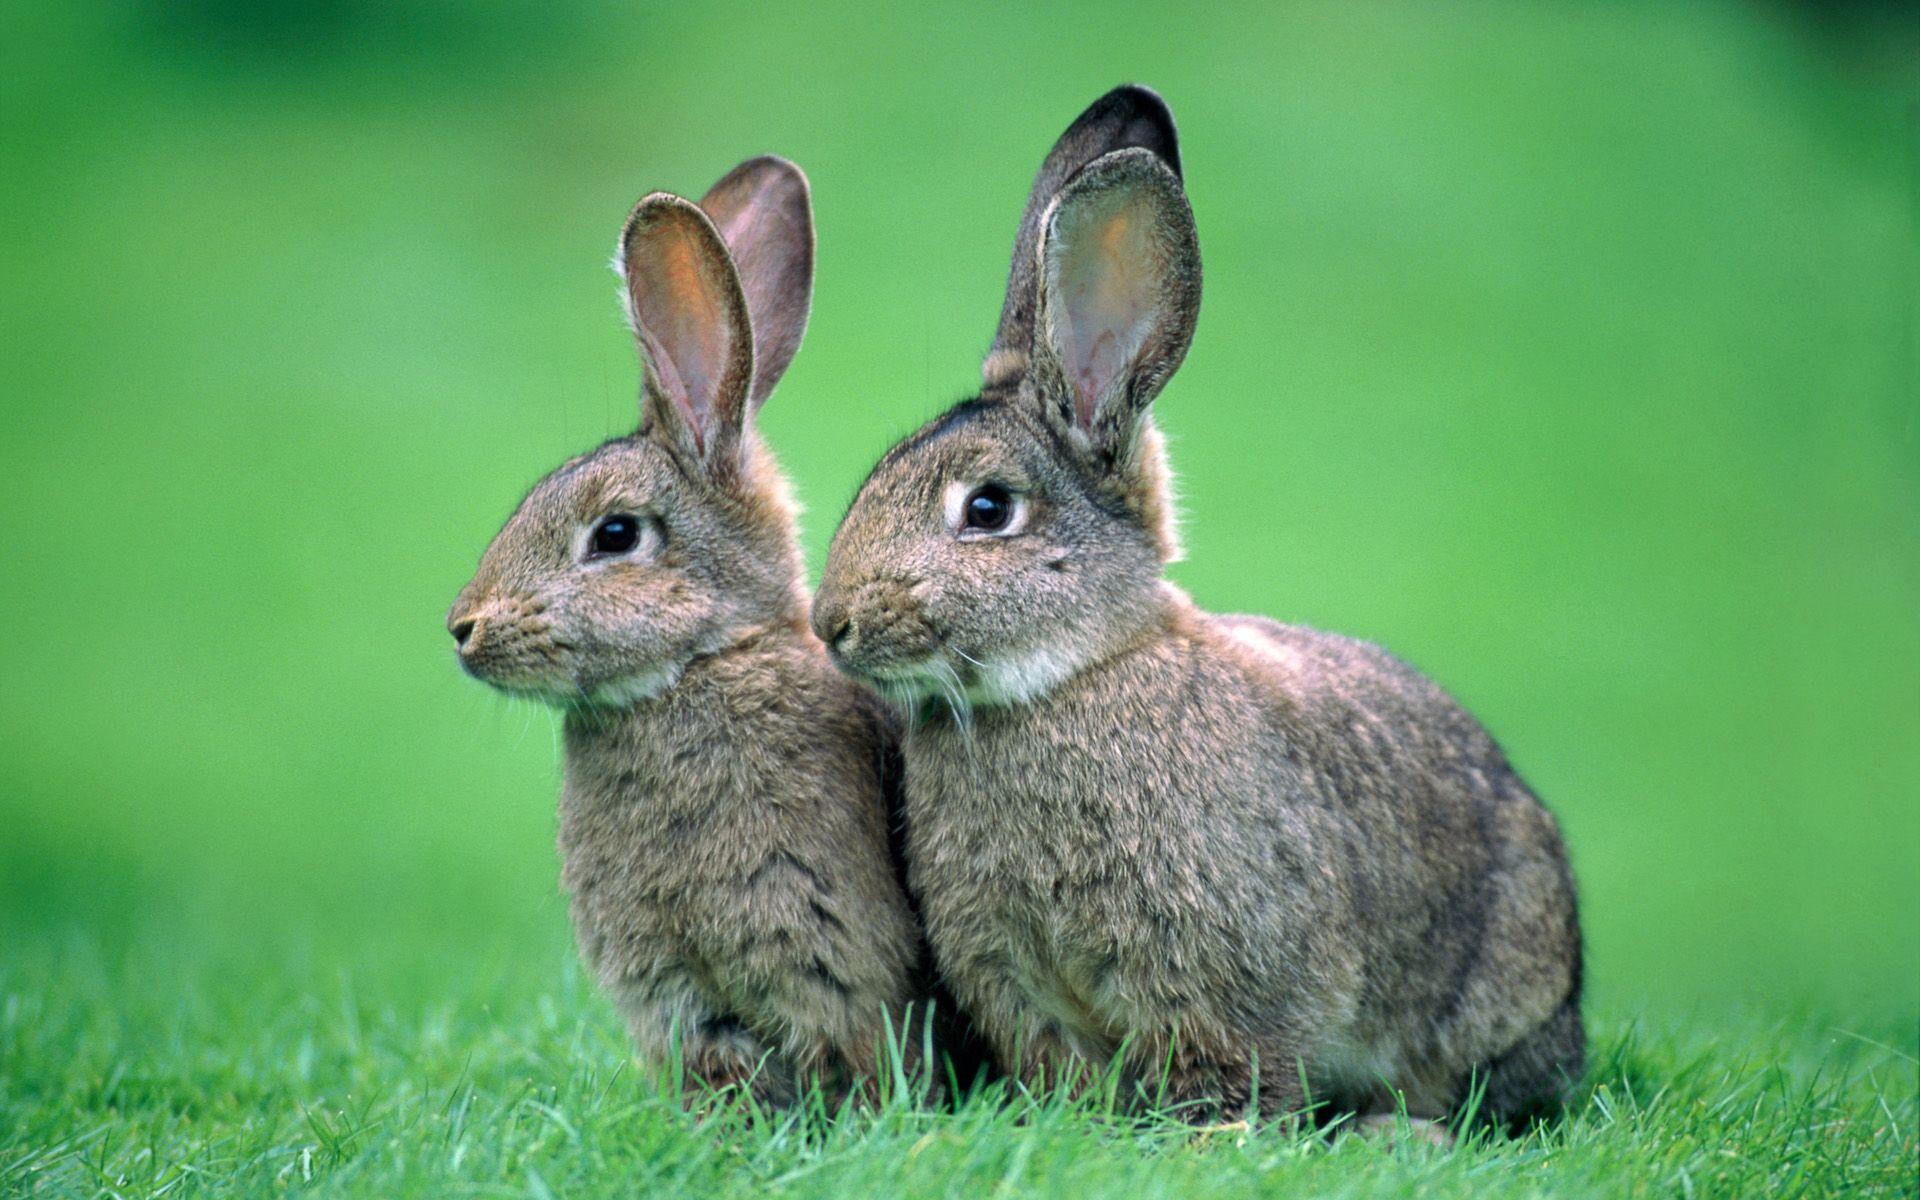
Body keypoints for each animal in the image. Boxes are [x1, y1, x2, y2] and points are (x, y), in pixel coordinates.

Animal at [810, 86, 1584, 1133]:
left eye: (988, 510)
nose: (832, 623)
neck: (1070, 679)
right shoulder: (1020, 982)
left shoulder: (1217, 970)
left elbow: (1227, 1066)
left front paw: (1206, 1139)